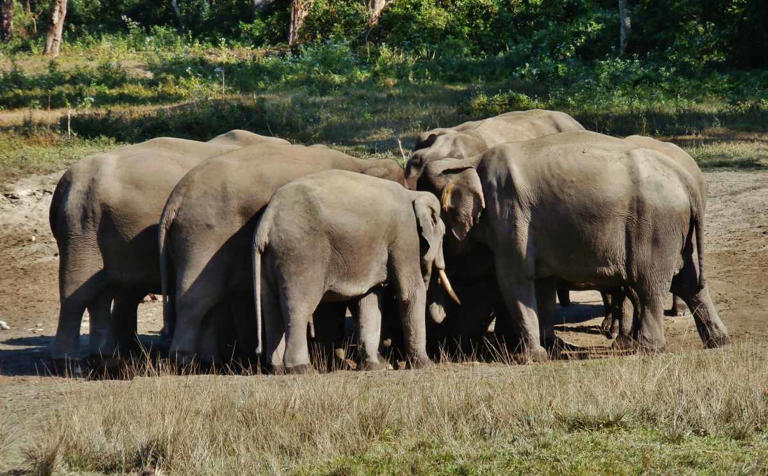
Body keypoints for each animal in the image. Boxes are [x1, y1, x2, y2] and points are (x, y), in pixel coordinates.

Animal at [49, 131, 288, 365]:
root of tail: (67, 184)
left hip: (94, 235)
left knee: (104, 291)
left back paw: (107, 354)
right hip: (80, 229)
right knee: (78, 293)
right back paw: (68, 359)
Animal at [159, 142, 406, 365]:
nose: (395, 354)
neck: (361, 164)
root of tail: (175, 197)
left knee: (211, 299)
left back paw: (211, 361)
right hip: (203, 236)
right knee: (197, 296)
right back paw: (185, 361)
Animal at [253, 169, 459, 373]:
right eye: (443, 234)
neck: (413, 194)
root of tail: (267, 221)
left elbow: (369, 299)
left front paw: (374, 367)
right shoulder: (404, 235)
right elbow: (410, 292)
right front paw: (425, 365)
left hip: (272, 255)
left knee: (270, 307)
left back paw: (276, 369)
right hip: (300, 252)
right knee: (300, 306)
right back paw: (301, 368)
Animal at [418, 130, 730, 360]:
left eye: (436, 222)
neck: (471, 161)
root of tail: (687, 180)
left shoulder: (510, 217)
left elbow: (513, 280)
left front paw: (529, 357)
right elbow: (542, 285)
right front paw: (549, 347)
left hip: (656, 226)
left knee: (650, 283)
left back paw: (645, 349)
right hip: (677, 231)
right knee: (689, 281)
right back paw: (719, 341)